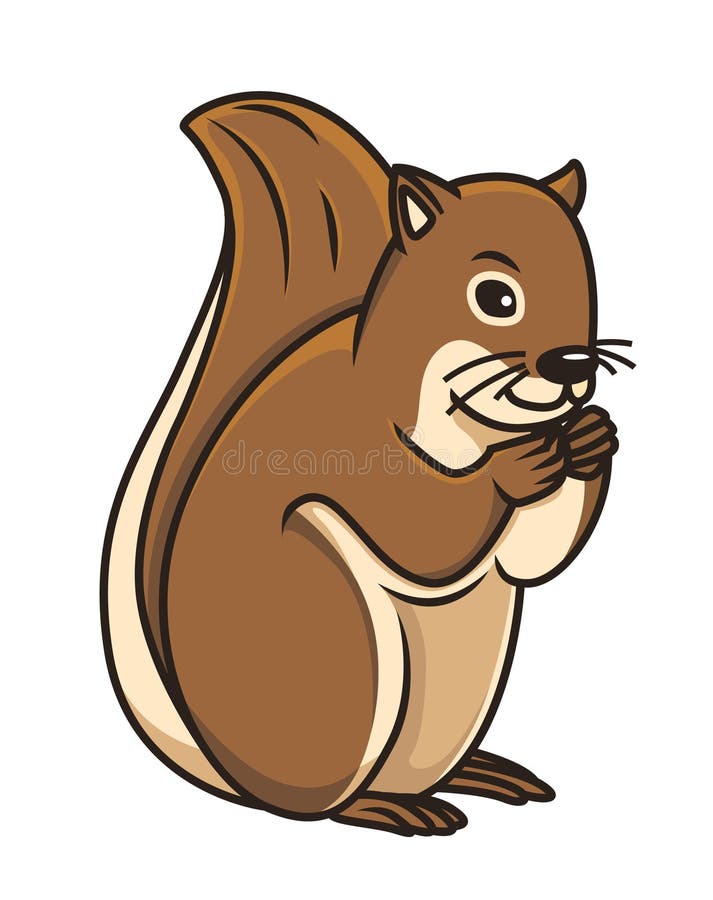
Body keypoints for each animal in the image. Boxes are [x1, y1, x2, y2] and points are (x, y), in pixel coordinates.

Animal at [102, 92, 630, 837]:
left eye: (587, 277)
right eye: (495, 297)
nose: (573, 368)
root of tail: (234, 776)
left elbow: (530, 558)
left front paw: (589, 436)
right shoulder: (350, 440)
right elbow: (419, 531)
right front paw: (517, 469)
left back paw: (475, 774)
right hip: (334, 641)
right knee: (325, 804)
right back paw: (383, 807)